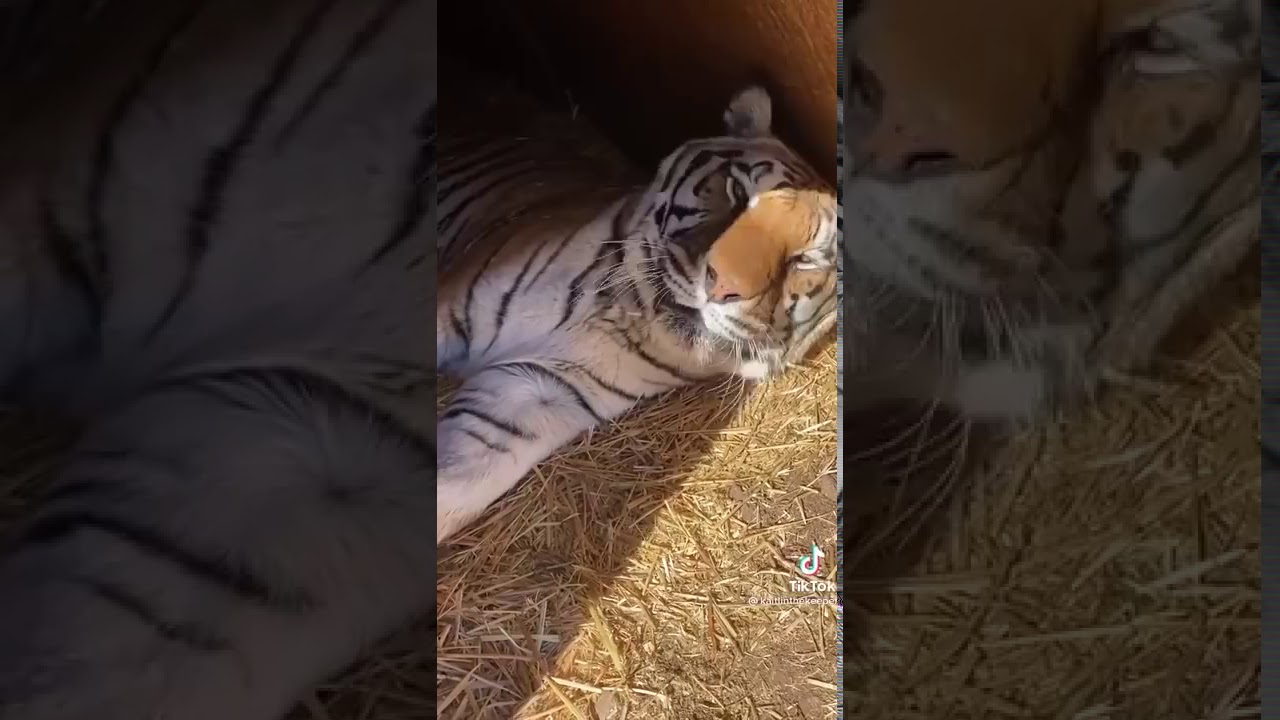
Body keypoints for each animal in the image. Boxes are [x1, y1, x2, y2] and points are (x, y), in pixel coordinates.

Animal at [435, 72, 839, 545]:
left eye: (803, 261)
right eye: (739, 193)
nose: (721, 286)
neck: (630, 314)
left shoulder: (537, 389)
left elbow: (458, 481)